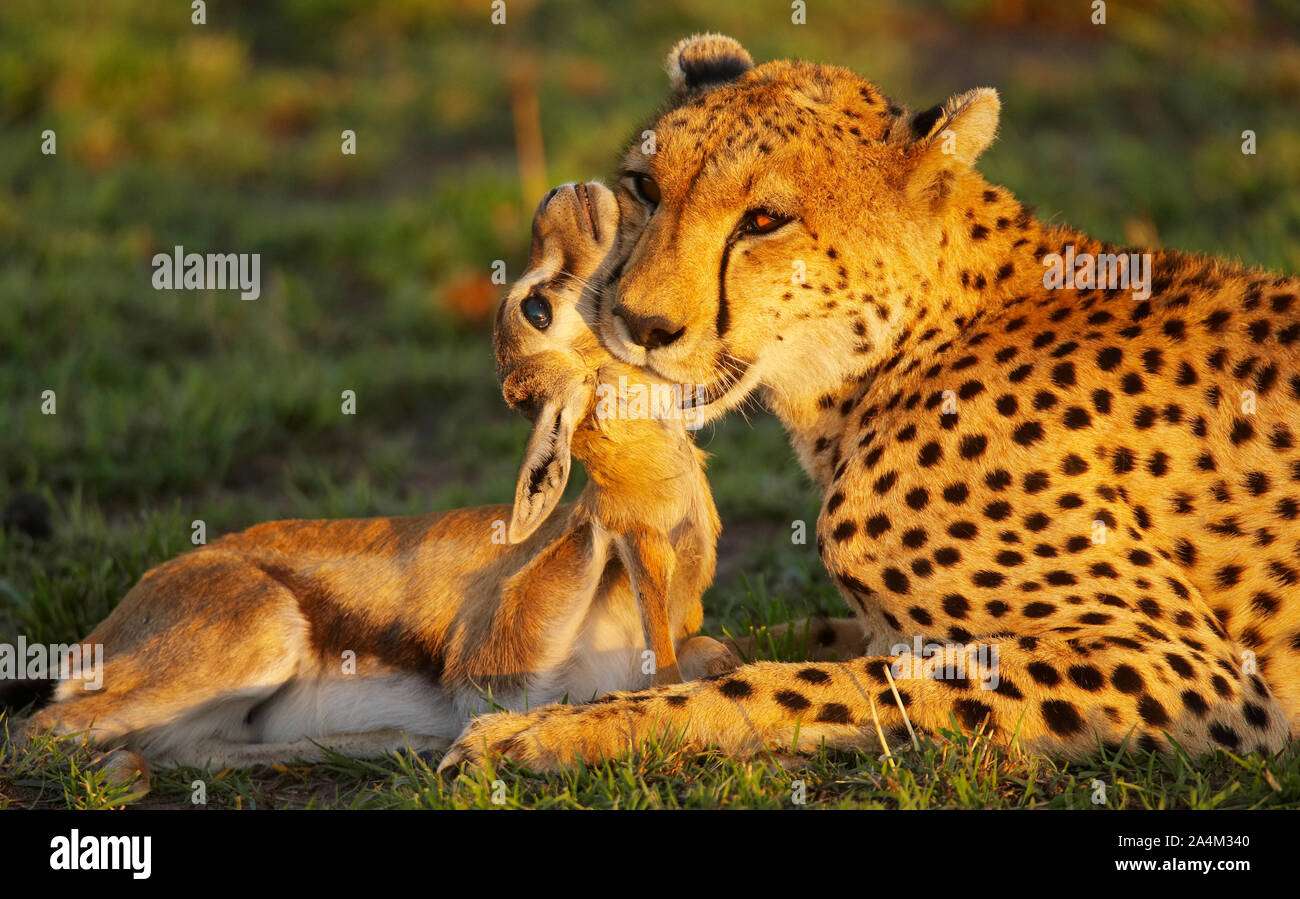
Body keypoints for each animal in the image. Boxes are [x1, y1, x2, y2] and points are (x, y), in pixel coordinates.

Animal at [439, 33, 1300, 775]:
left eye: (764, 220)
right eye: (646, 188)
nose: (640, 323)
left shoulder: (1186, 666)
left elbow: (798, 683)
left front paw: (542, 733)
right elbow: (782, 639)